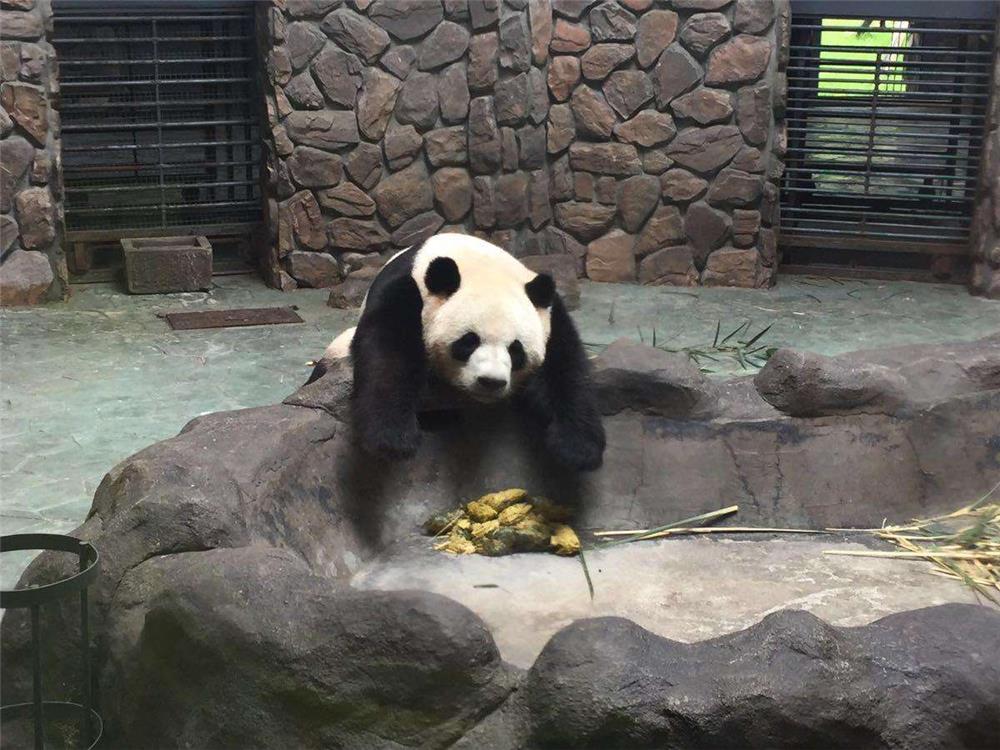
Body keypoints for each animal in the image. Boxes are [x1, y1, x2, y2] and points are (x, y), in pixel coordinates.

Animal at [307, 233, 606, 472]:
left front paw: (578, 448)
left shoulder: (549, 313)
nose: (491, 382)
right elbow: (388, 354)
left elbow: (566, 367)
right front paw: (392, 439)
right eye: (468, 342)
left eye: (516, 350)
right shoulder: (404, 290)